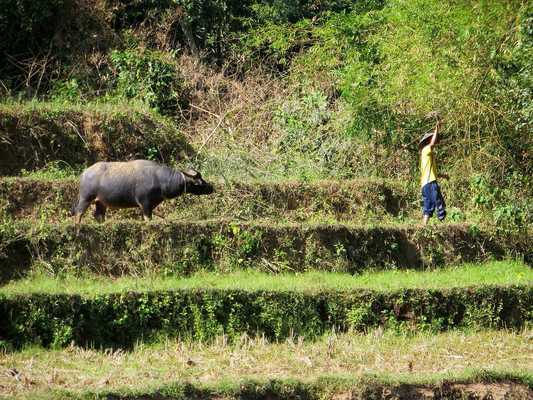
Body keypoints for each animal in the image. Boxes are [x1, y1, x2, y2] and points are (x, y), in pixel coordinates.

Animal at [72, 159, 214, 222]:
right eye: (199, 181)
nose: (211, 187)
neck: (159, 180)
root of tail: (84, 173)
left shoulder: (150, 205)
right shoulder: (145, 203)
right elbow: (148, 218)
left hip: (100, 202)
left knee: (99, 215)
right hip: (86, 198)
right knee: (79, 212)